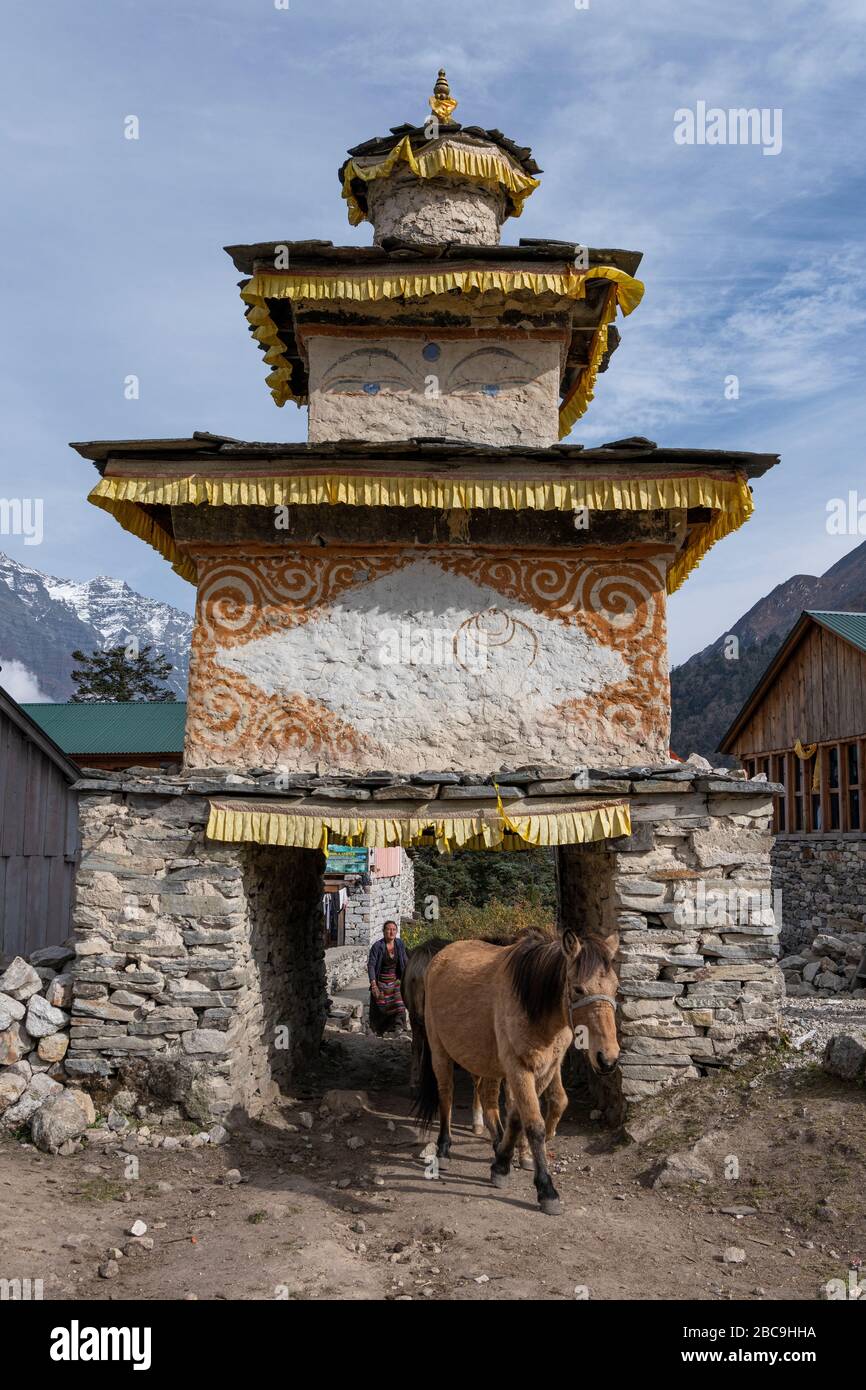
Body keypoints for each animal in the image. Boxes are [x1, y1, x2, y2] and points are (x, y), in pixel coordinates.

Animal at [415, 928, 619, 1215]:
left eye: (616, 987)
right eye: (578, 989)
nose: (607, 1059)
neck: (537, 1009)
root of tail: (440, 956)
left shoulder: (543, 1070)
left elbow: (515, 1117)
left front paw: (501, 1164)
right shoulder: (519, 1068)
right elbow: (534, 1124)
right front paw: (547, 1190)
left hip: (486, 1060)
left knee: (488, 1100)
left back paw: (495, 1143)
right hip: (440, 1052)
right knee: (447, 1096)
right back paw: (444, 1150)